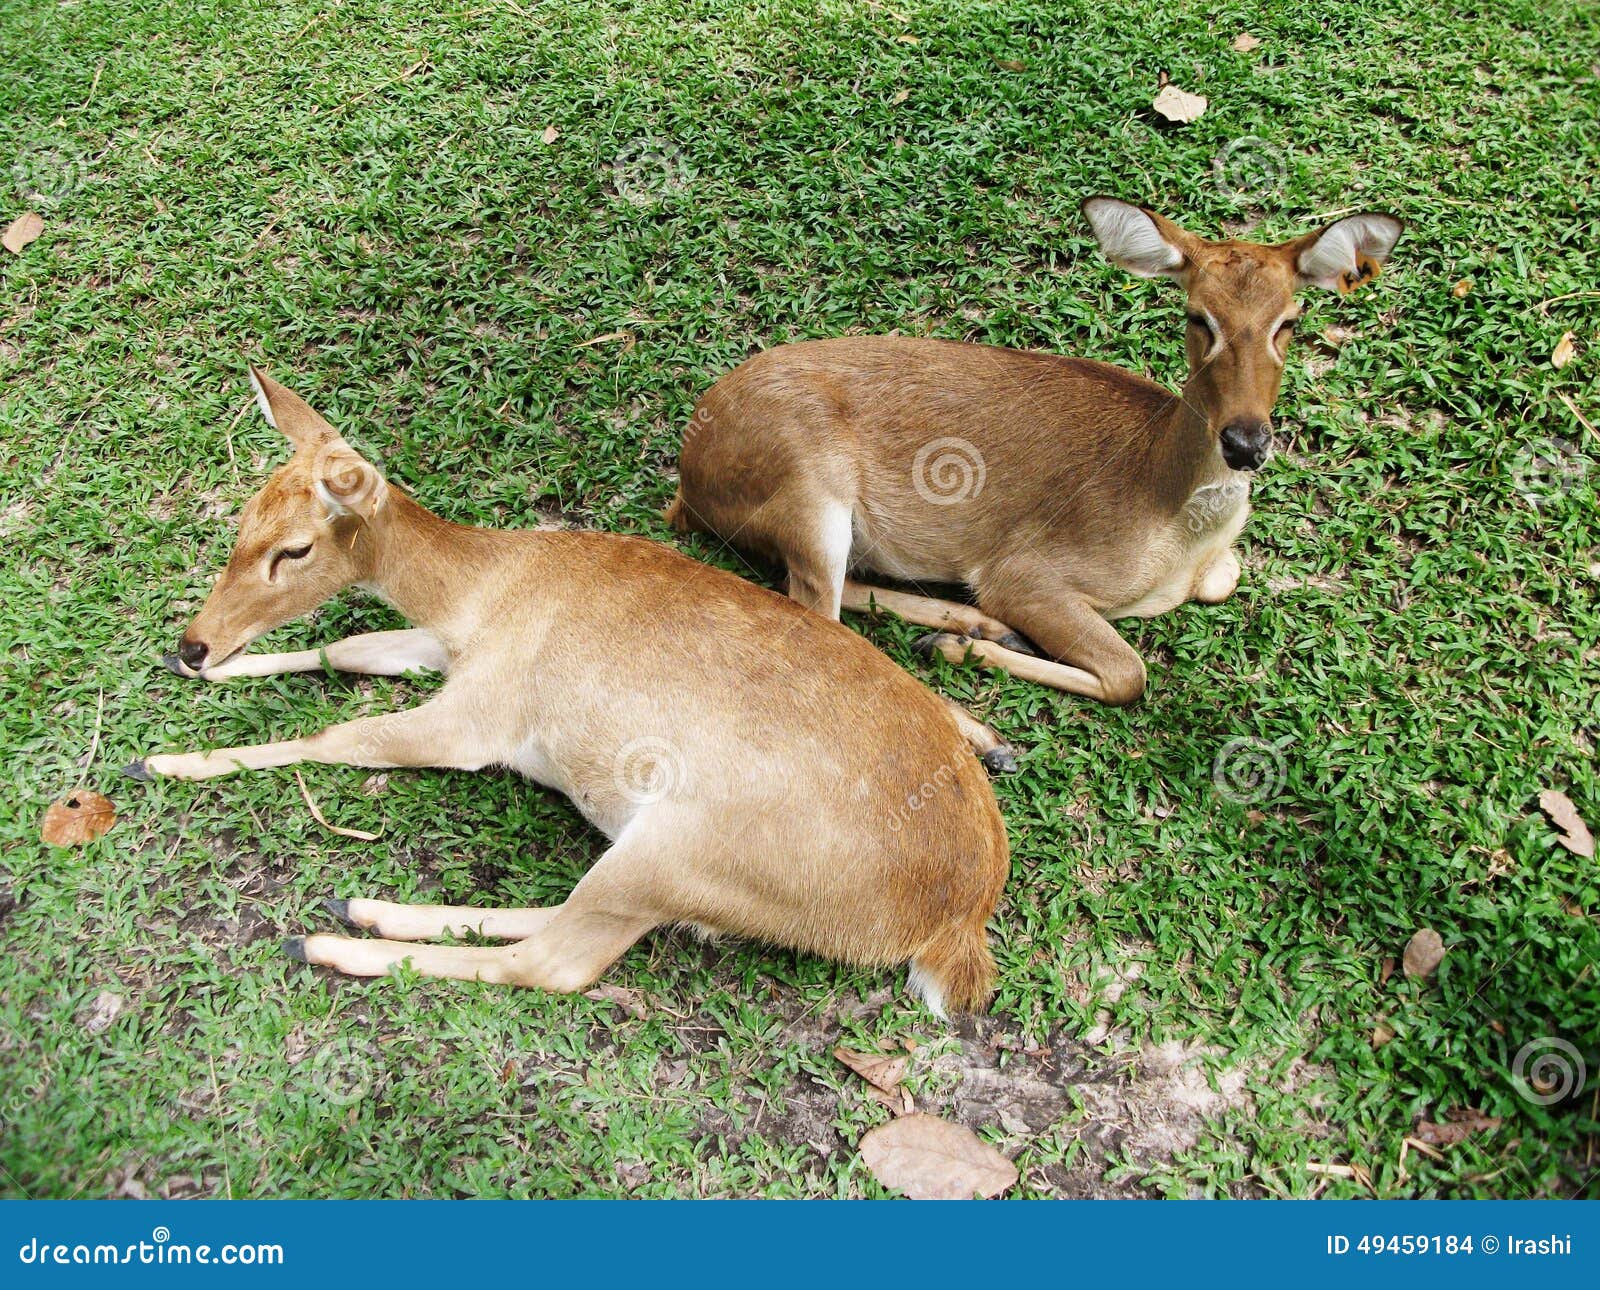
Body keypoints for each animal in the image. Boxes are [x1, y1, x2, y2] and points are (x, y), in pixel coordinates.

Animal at [124, 368, 1010, 1015]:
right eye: (245, 518)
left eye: (295, 548)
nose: (195, 642)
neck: (486, 587)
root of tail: (956, 920)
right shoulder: (453, 656)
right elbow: (350, 650)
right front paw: (200, 684)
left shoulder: (477, 719)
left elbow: (341, 737)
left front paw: (163, 762)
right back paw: (361, 908)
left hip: (679, 850)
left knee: (554, 962)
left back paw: (327, 941)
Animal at [667, 198, 1403, 707]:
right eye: (1200, 316)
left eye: (1290, 321)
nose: (1246, 441)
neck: (1173, 524)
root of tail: (688, 481)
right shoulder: (1026, 571)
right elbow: (1130, 674)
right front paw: (962, 652)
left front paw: (967, 641)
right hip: (811, 491)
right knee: (819, 618)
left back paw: (971, 628)